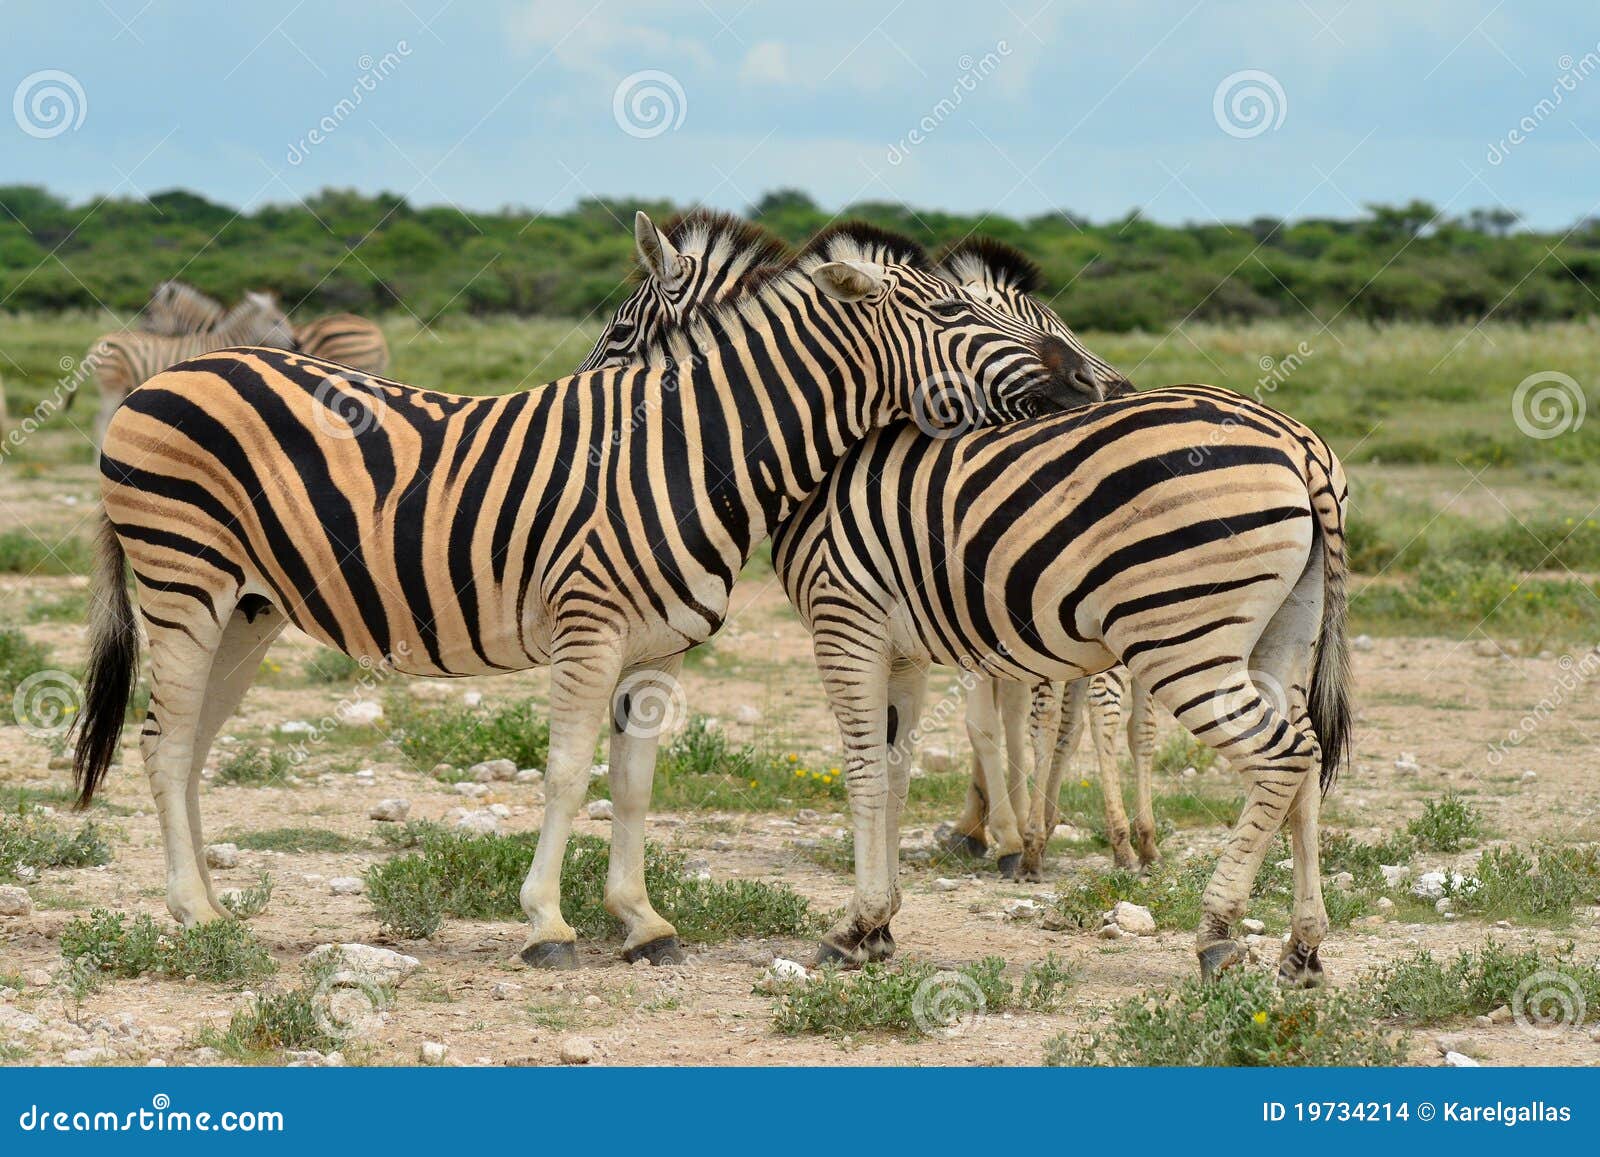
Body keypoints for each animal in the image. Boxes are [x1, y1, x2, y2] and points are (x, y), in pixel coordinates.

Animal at [771, 385, 1351, 984]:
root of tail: (1302, 447)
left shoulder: (916, 633)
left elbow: (976, 730)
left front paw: (998, 835)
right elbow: (1003, 733)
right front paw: (1007, 828)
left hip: (1173, 636)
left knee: (1271, 752)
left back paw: (1209, 927)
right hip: (1271, 638)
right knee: (1302, 748)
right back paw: (1295, 942)